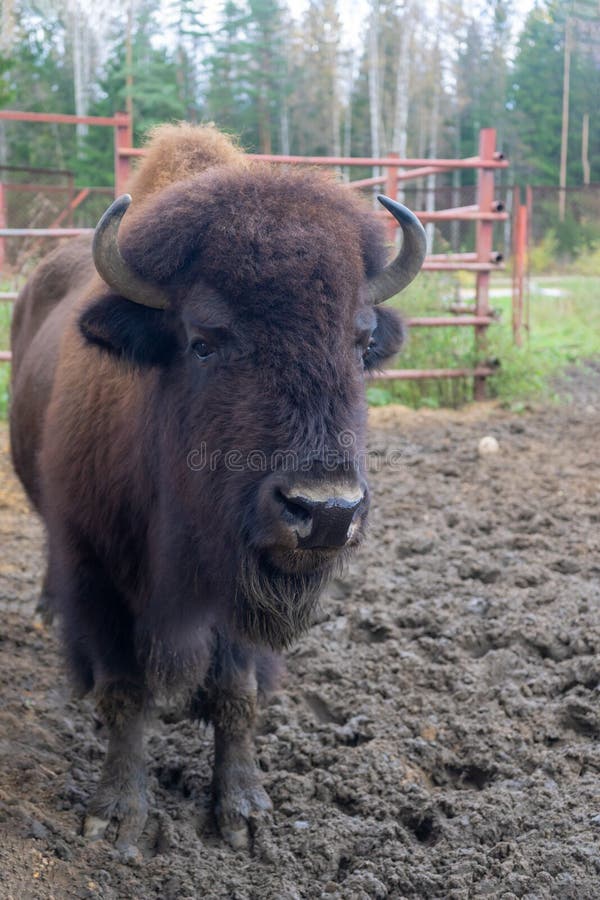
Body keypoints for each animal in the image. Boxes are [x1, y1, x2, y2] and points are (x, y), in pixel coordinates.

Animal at [9, 123, 426, 853]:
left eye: (360, 340)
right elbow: (125, 690)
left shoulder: (244, 587)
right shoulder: (99, 570)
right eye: (203, 340)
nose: (325, 512)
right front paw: (117, 815)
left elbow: (238, 694)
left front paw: (244, 814)